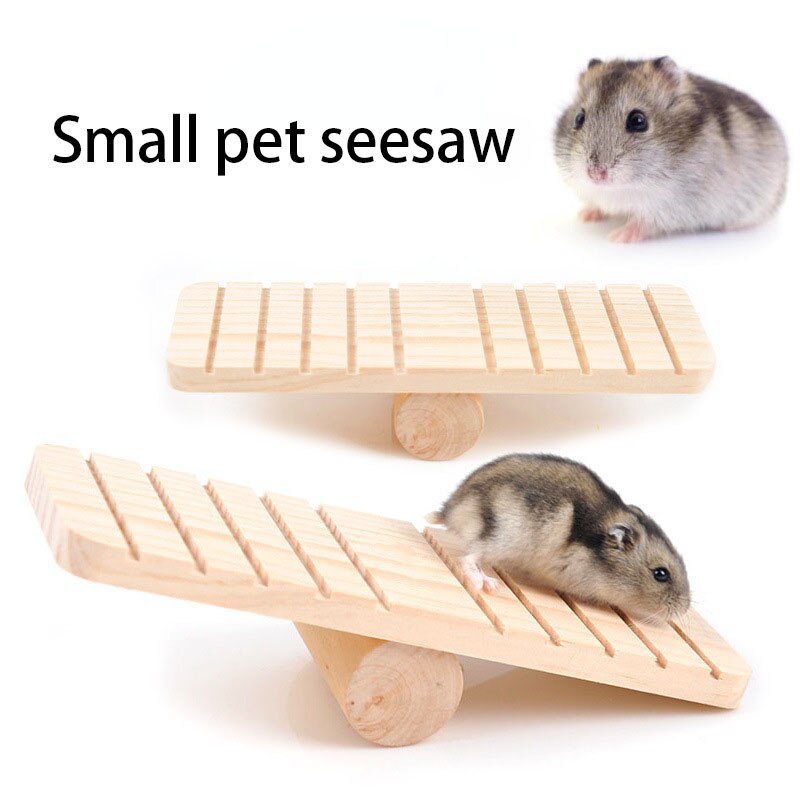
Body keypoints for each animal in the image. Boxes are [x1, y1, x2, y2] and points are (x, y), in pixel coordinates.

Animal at [426, 453, 690, 622]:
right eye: (660, 574)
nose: (685, 608)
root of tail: (451, 510)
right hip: (500, 538)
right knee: (469, 558)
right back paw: (488, 585)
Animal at [553, 57, 788, 242]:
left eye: (638, 120)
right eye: (579, 118)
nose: (595, 174)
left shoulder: (673, 207)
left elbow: (645, 222)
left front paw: (618, 237)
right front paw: (585, 215)